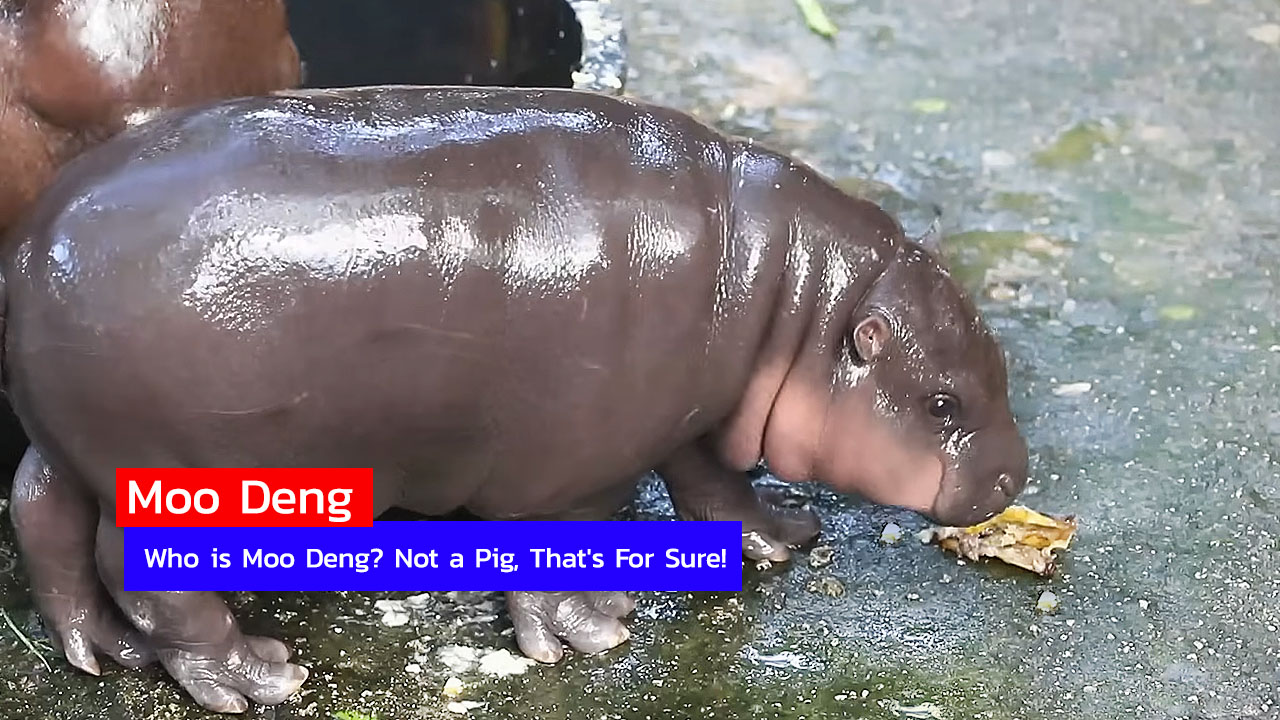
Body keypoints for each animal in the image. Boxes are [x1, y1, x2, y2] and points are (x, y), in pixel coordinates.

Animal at [0, 85, 1029, 714]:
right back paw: (256, 677)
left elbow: (712, 483)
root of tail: (33, 246)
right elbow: (562, 537)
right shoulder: (580, 459)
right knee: (145, 571)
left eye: (994, 365)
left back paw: (100, 653)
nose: (1014, 475)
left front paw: (782, 534)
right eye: (941, 403)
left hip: (69, 439)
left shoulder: (695, 406)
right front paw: (596, 630)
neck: (788, 294)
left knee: (42, 513)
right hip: (169, 473)